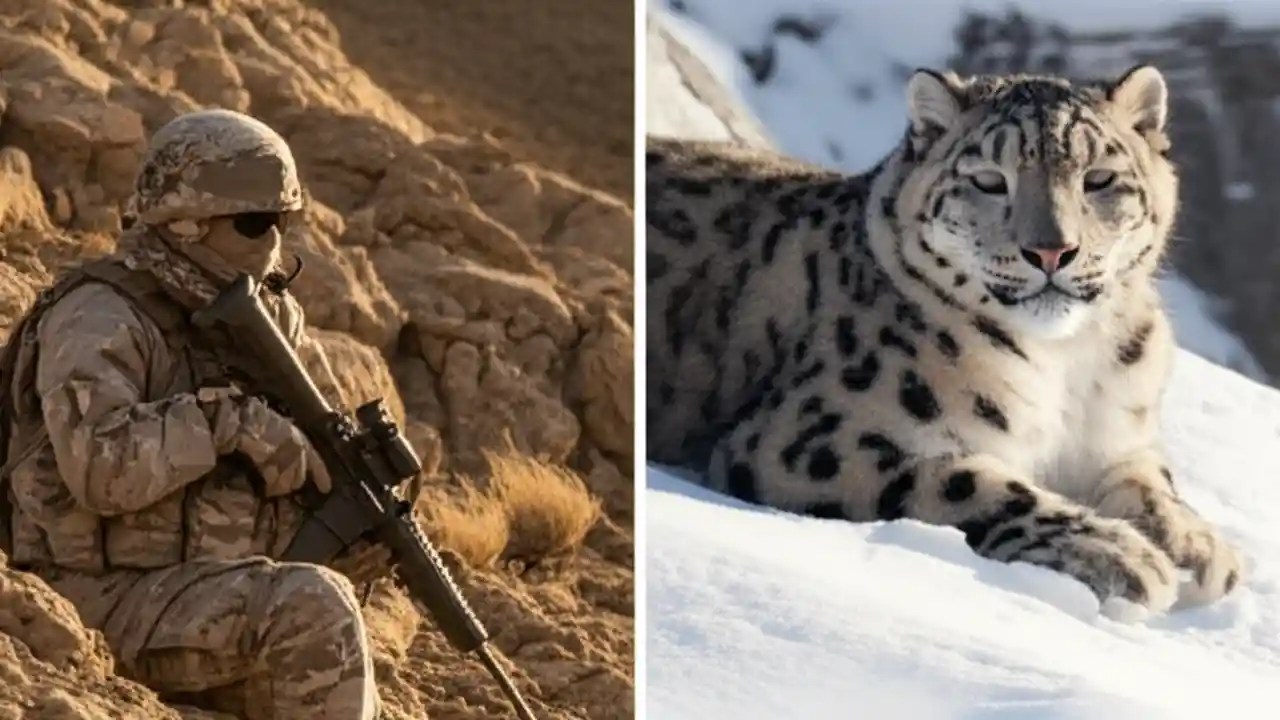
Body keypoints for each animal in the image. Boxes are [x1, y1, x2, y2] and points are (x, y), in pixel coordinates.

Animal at [645, 64, 1243, 618]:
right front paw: (1121, 554)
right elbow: (964, 481)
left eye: (1099, 179)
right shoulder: (811, 439)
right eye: (988, 181)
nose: (1052, 251)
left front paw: (1196, 546)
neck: (1066, 365)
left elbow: (1149, 479)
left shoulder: (1117, 436)